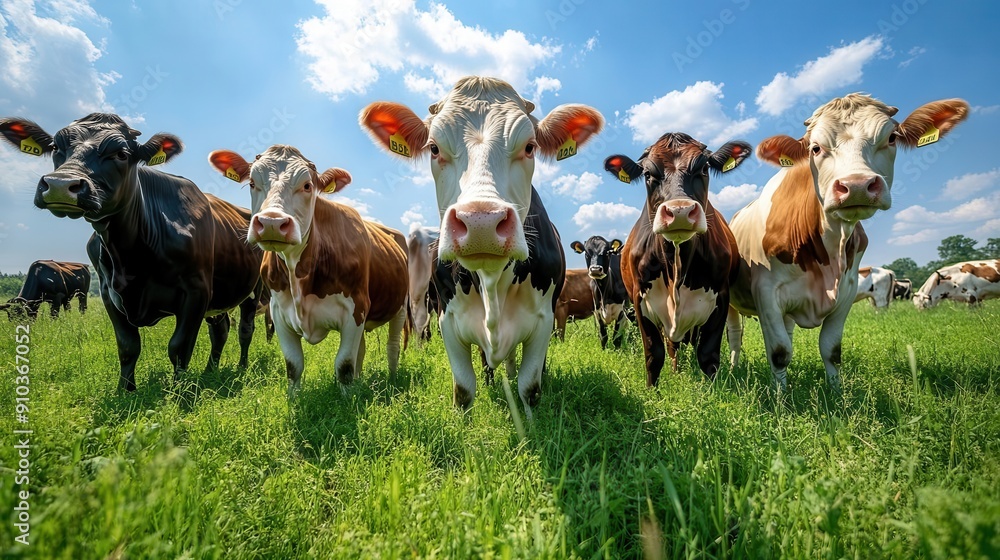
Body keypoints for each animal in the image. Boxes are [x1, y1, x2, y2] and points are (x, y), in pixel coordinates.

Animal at [0, 113, 263, 391]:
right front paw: (125, 390)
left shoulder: (197, 291)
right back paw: (210, 370)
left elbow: (179, 347)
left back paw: (241, 367)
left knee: (245, 329)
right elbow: (128, 346)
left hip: (253, 290)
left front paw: (179, 391)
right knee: (220, 329)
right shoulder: (108, 293)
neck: (130, 256)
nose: (61, 184)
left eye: (121, 154)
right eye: (55, 147)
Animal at [208, 145, 409, 393]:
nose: (272, 223)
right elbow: (293, 365)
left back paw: (392, 379)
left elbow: (344, 366)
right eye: (252, 183)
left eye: (307, 186)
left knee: (393, 347)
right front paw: (295, 397)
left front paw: (348, 398)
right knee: (360, 351)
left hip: (400, 307)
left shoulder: (356, 309)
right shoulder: (279, 312)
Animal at [360, 76, 603, 418]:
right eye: (434, 148)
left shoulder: (544, 320)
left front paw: (531, 421)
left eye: (530, 147)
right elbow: (463, 389)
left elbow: (530, 387)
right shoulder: (447, 319)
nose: (481, 222)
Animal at [605, 133, 750, 386]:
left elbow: (708, 354)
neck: (676, 267)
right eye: (648, 174)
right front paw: (652, 390)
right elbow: (654, 353)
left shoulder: (721, 298)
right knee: (672, 344)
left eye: (704, 168)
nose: (679, 211)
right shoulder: (639, 299)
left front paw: (712, 391)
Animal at [726, 94, 969, 391]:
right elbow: (779, 352)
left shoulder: (847, 291)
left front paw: (835, 393)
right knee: (736, 334)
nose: (857, 185)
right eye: (815, 148)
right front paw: (780, 397)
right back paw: (734, 368)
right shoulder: (766, 292)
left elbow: (831, 350)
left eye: (891, 138)